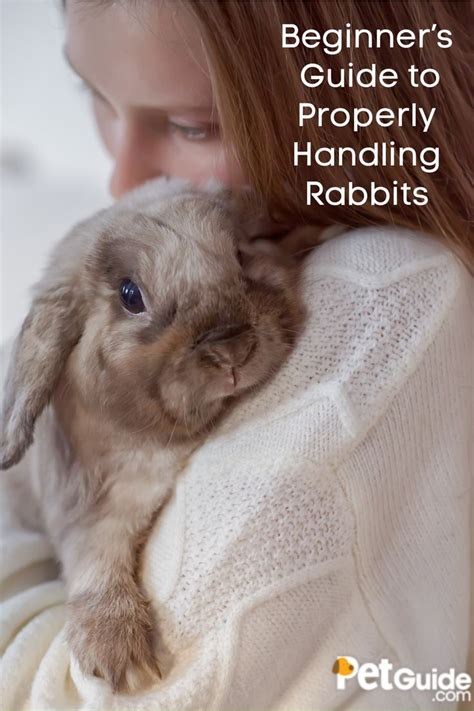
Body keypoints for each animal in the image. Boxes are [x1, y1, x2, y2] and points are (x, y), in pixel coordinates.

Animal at [0, 177, 320, 693]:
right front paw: (119, 656)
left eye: (239, 253)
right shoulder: (94, 510)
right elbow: (96, 562)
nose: (231, 350)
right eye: (131, 295)